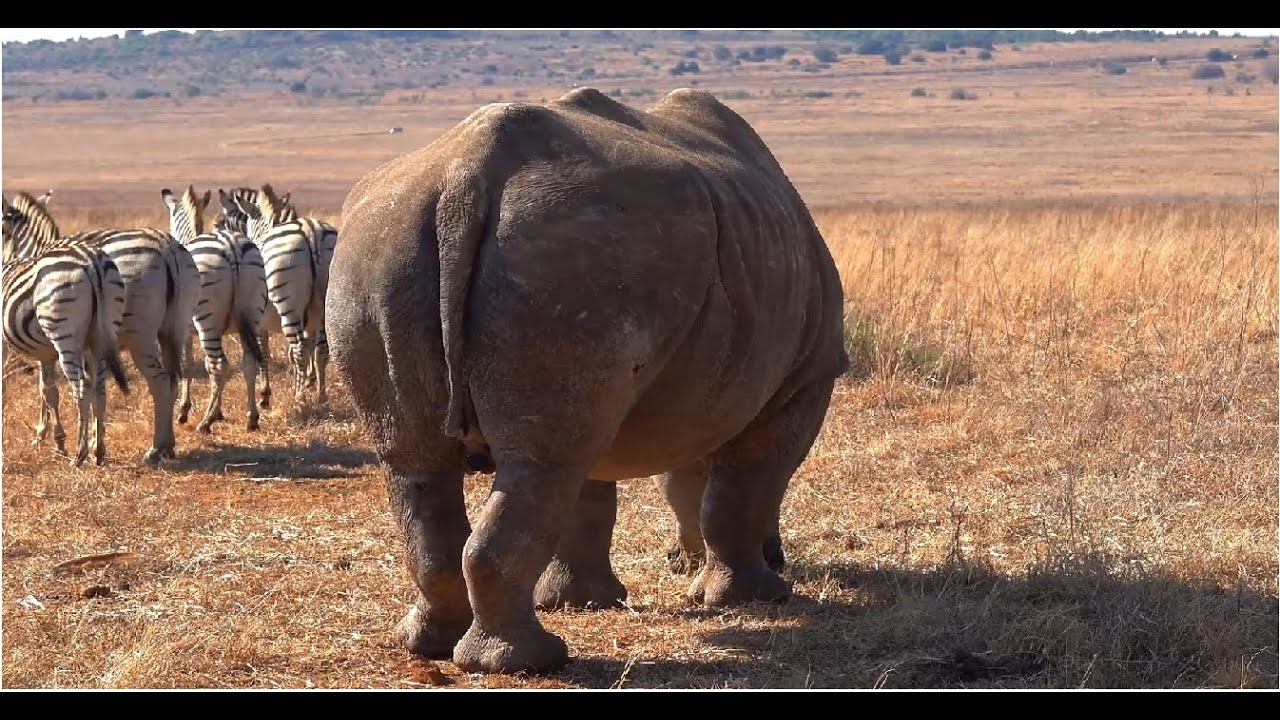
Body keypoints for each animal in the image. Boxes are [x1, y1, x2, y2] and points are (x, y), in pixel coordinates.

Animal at [327, 87, 848, 675]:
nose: (779, 559)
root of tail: (464, 176)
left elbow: (600, 495)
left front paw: (586, 600)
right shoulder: (804, 381)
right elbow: (748, 485)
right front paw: (756, 598)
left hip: (383, 251)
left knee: (425, 462)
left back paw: (432, 645)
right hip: (568, 254)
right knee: (543, 463)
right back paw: (529, 662)